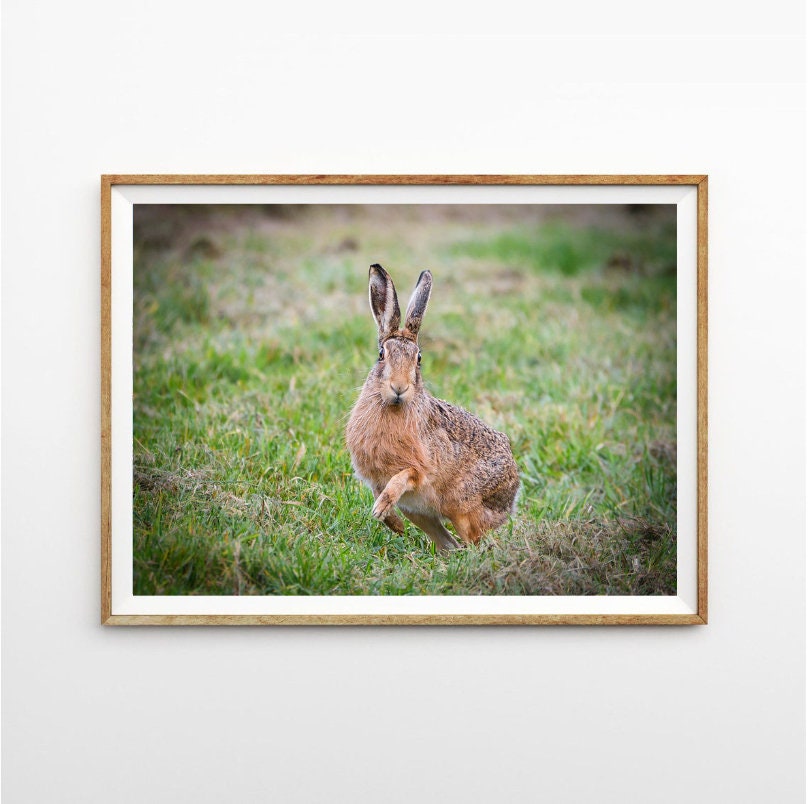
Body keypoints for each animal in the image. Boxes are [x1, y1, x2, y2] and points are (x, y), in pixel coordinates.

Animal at [345, 263, 520, 551]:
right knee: (448, 543)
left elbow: (403, 477)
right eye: (381, 355)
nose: (399, 387)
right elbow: (378, 490)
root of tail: (512, 494)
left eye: (418, 358)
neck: (394, 407)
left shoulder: (420, 470)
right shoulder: (373, 477)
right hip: (420, 514)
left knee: (476, 545)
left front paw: (381, 508)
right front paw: (390, 521)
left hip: (464, 510)